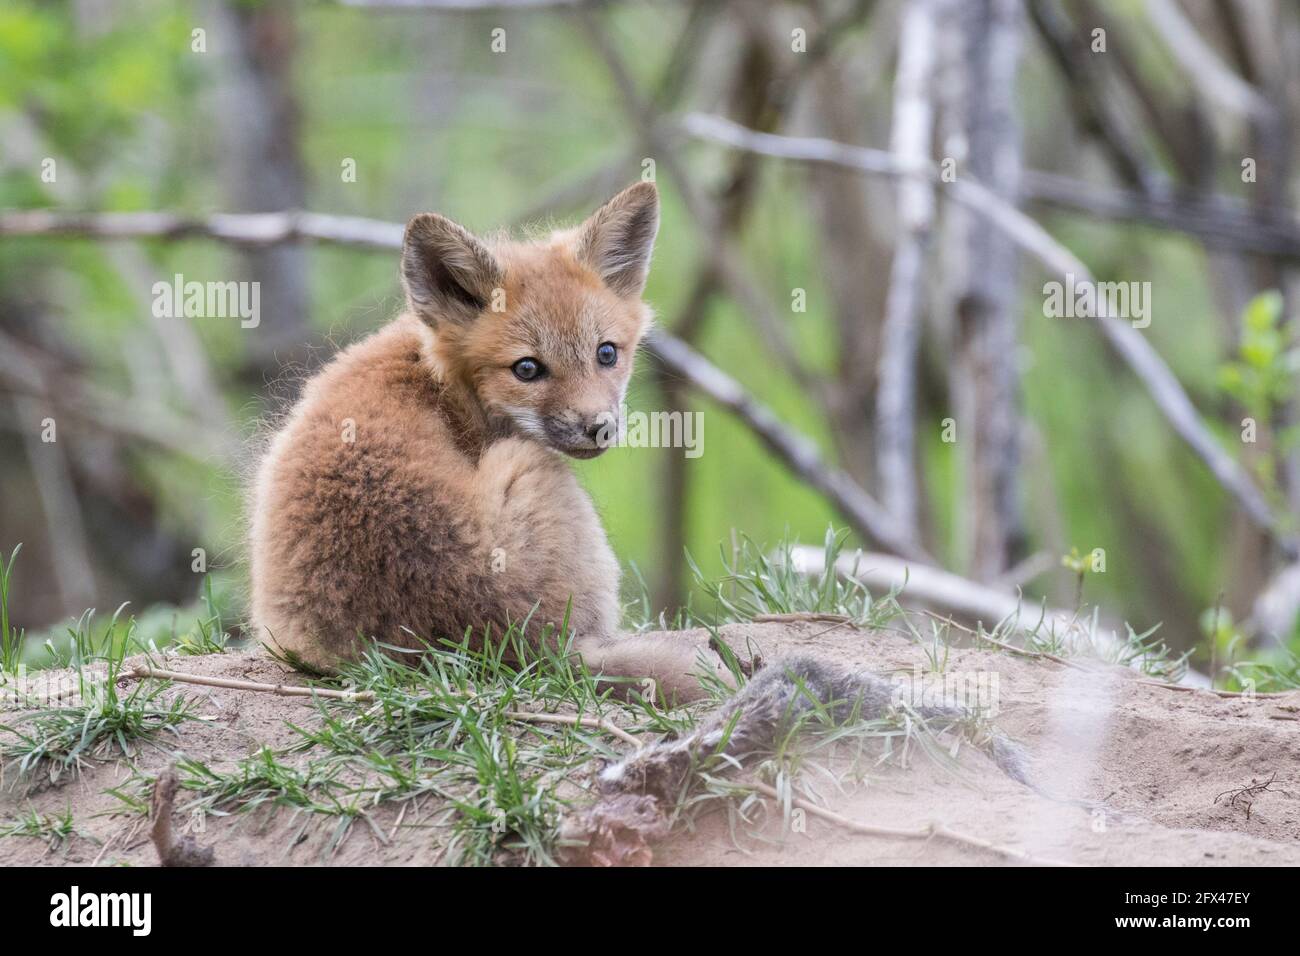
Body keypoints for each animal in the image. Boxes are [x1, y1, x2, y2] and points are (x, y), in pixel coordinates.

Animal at [248, 182, 733, 700]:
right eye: (527, 368)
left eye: (606, 353)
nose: (598, 426)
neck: (436, 378)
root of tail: (525, 653)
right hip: (533, 469)